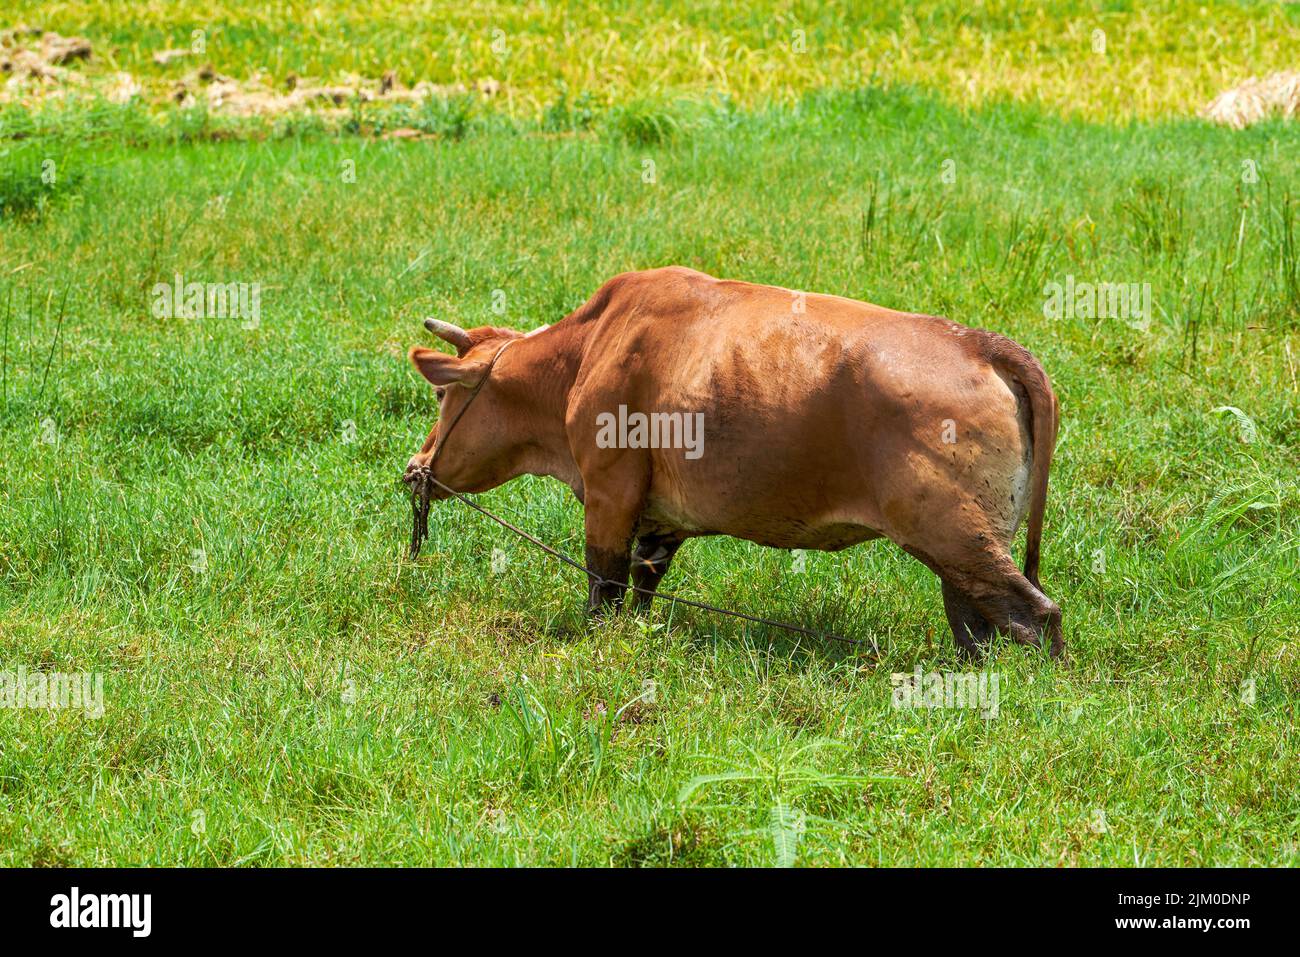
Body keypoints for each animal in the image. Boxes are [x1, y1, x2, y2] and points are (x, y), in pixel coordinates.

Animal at [404, 266, 1063, 658]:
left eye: (440, 396)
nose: (415, 466)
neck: (588, 349)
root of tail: (981, 343)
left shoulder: (610, 493)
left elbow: (604, 588)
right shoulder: (660, 519)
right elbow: (643, 585)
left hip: (956, 535)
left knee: (1038, 615)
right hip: (964, 550)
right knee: (979, 621)